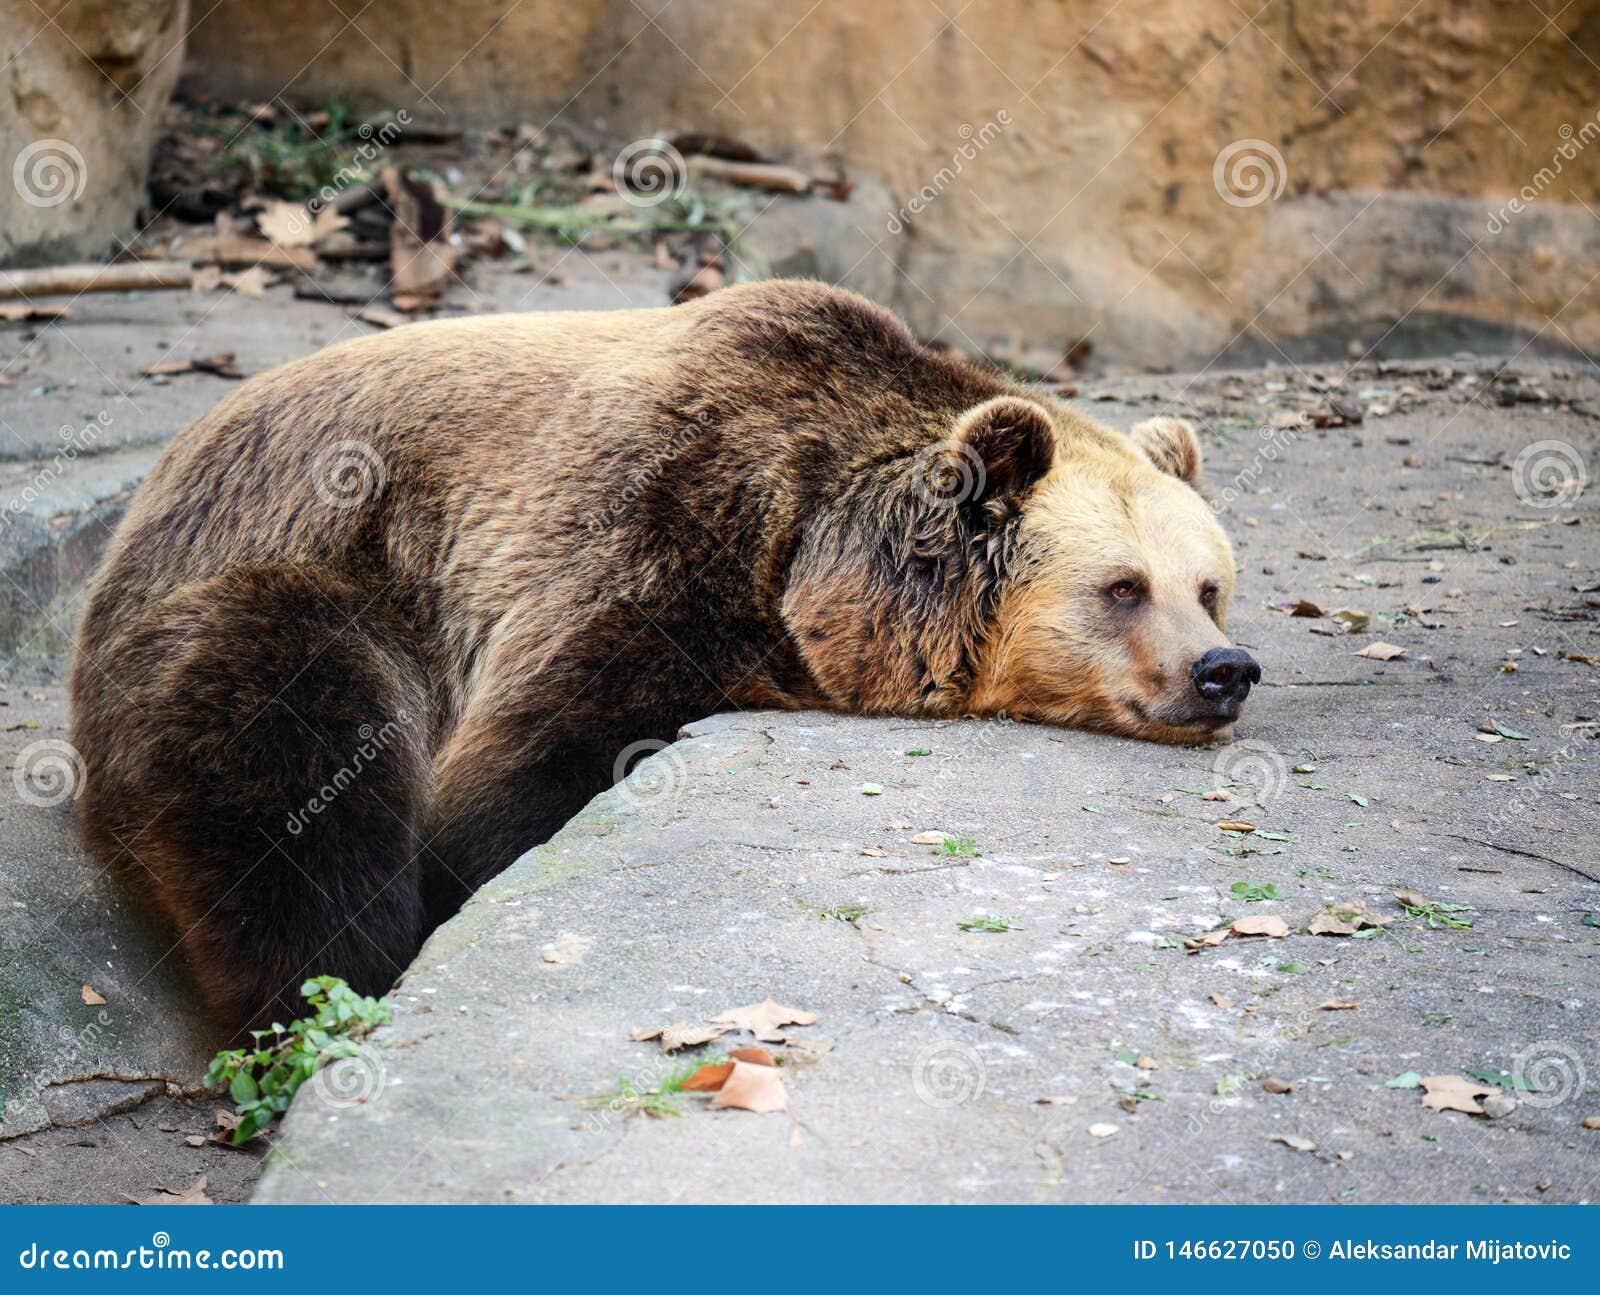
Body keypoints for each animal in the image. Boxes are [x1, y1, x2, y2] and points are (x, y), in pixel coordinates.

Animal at [69, 280, 1258, 1032]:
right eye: (1122, 587)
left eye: (1207, 585)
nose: (1224, 670)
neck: (799, 558)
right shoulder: (641, 529)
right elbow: (515, 766)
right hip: (295, 572)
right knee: (290, 765)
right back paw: (322, 990)